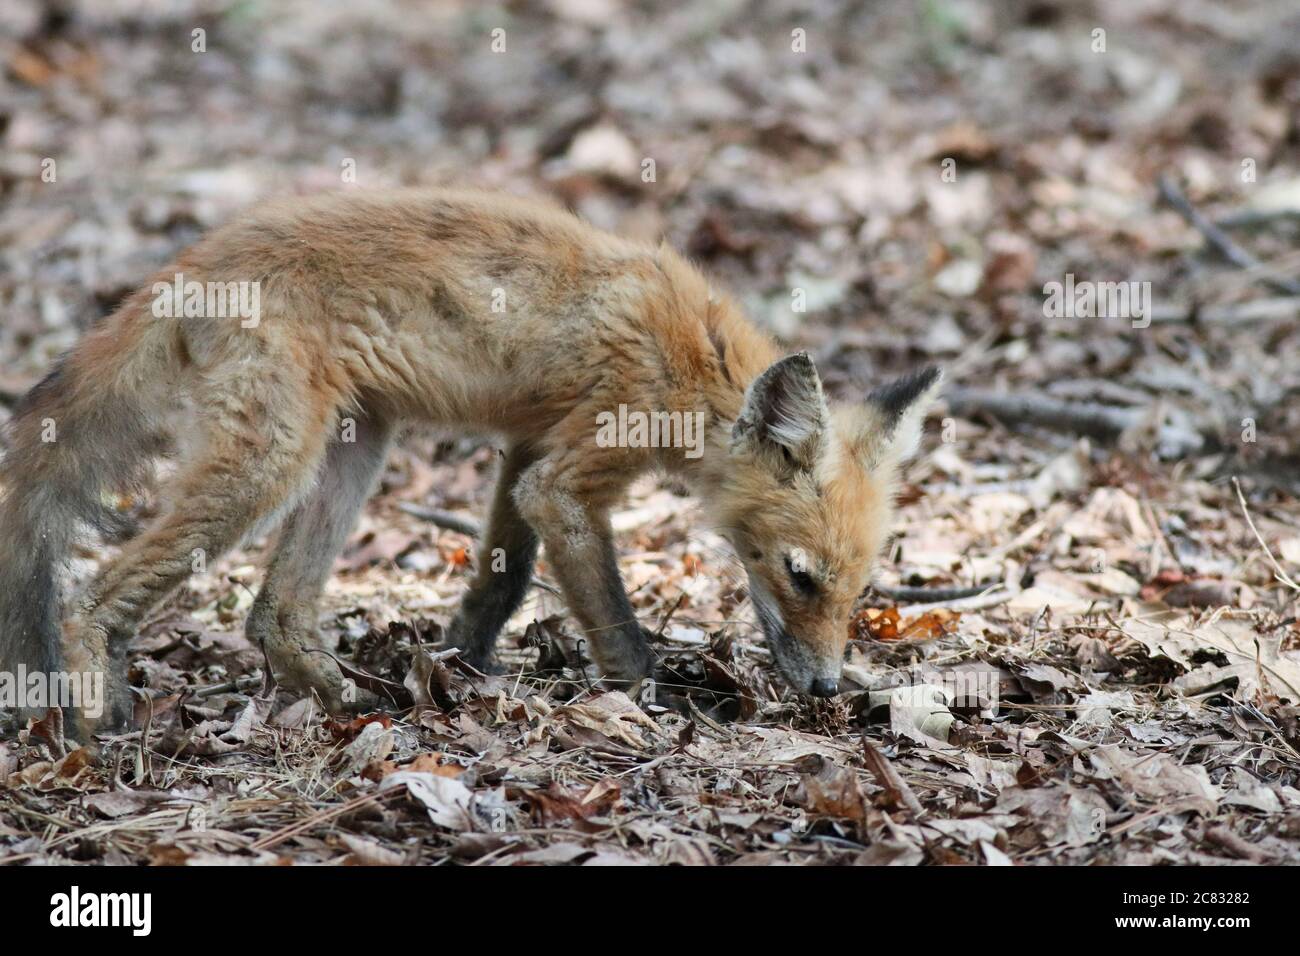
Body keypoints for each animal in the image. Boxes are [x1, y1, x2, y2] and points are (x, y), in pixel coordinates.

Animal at [0, 188, 942, 738]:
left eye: (860, 590)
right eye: (800, 576)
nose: (827, 688)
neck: (693, 360)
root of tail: (190, 260)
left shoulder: (532, 442)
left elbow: (502, 575)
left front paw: (465, 665)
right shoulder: (566, 476)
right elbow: (615, 619)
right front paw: (652, 701)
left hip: (354, 445)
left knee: (272, 613)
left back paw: (346, 703)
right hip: (270, 465)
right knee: (92, 596)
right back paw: (97, 724)